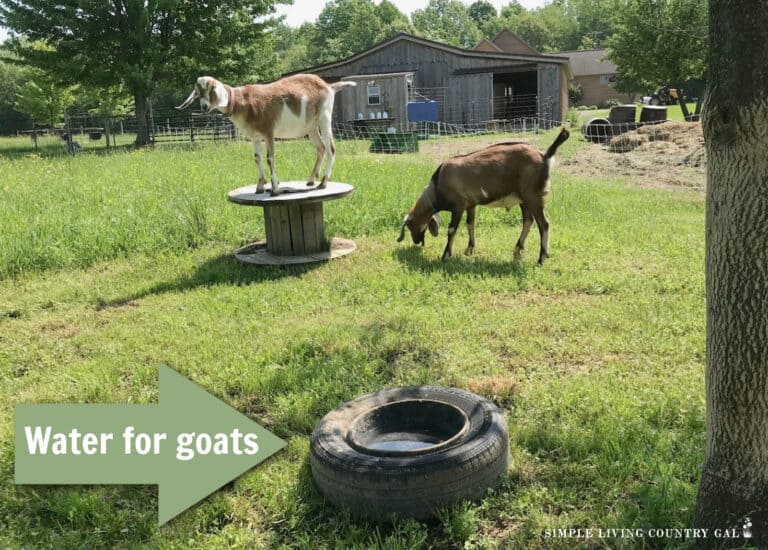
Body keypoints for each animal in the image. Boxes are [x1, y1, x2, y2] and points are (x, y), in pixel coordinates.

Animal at [176, 74, 356, 196]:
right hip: (311, 127)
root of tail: (329, 86)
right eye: (198, 92)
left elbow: (270, 158)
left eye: (210, 89)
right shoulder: (255, 137)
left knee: (331, 148)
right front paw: (260, 186)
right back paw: (311, 180)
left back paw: (323, 182)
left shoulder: (269, 132)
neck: (243, 102)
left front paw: (275, 189)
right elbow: (257, 158)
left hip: (324, 118)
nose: (204, 107)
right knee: (321, 148)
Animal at [397, 128, 570, 265]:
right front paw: (469, 249)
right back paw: (517, 250)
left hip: (534, 196)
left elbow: (452, 229)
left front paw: (445, 256)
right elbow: (470, 224)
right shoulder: (471, 205)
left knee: (544, 224)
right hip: (524, 199)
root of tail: (544, 156)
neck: (438, 183)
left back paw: (541, 258)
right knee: (528, 221)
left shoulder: (458, 206)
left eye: (411, 225)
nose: (416, 241)